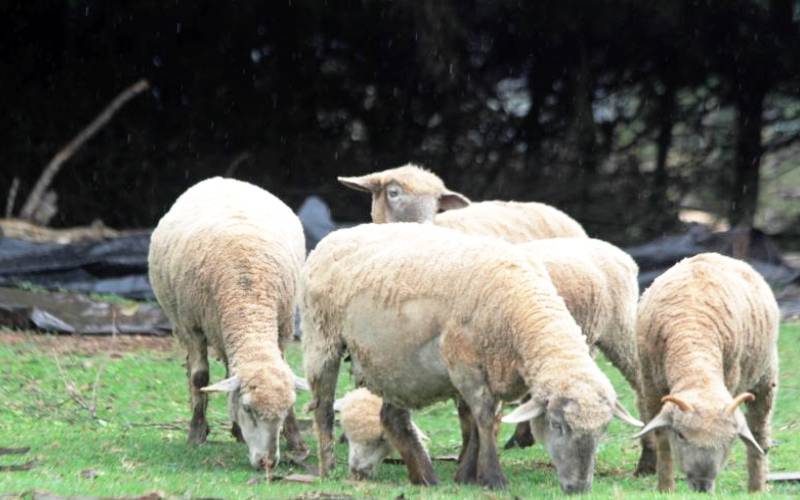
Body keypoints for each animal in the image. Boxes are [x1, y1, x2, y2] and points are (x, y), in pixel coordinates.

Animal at [148, 177, 308, 472]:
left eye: (285, 409)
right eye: (248, 408)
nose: (268, 462)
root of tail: (223, 180)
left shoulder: (284, 327)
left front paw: (296, 442)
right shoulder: (193, 327)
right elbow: (200, 377)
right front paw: (196, 433)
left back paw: (236, 431)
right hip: (181, 321)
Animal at [301, 222, 642, 492]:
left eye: (603, 430)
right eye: (557, 425)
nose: (580, 488)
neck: (521, 306)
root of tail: (336, 235)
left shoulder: (493, 366)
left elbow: (482, 422)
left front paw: (467, 474)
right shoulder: (465, 365)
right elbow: (484, 417)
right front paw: (493, 478)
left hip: (394, 361)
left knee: (392, 418)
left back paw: (424, 477)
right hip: (322, 339)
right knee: (323, 409)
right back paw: (328, 468)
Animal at [633, 252, 779, 493]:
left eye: (730, 440)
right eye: (681, 435)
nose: (702, 486)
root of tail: (715, 255)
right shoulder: (651, 386)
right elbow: (662, 439)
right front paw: (665, 488)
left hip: (766, 377)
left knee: (759, 435)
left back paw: (756, 488)